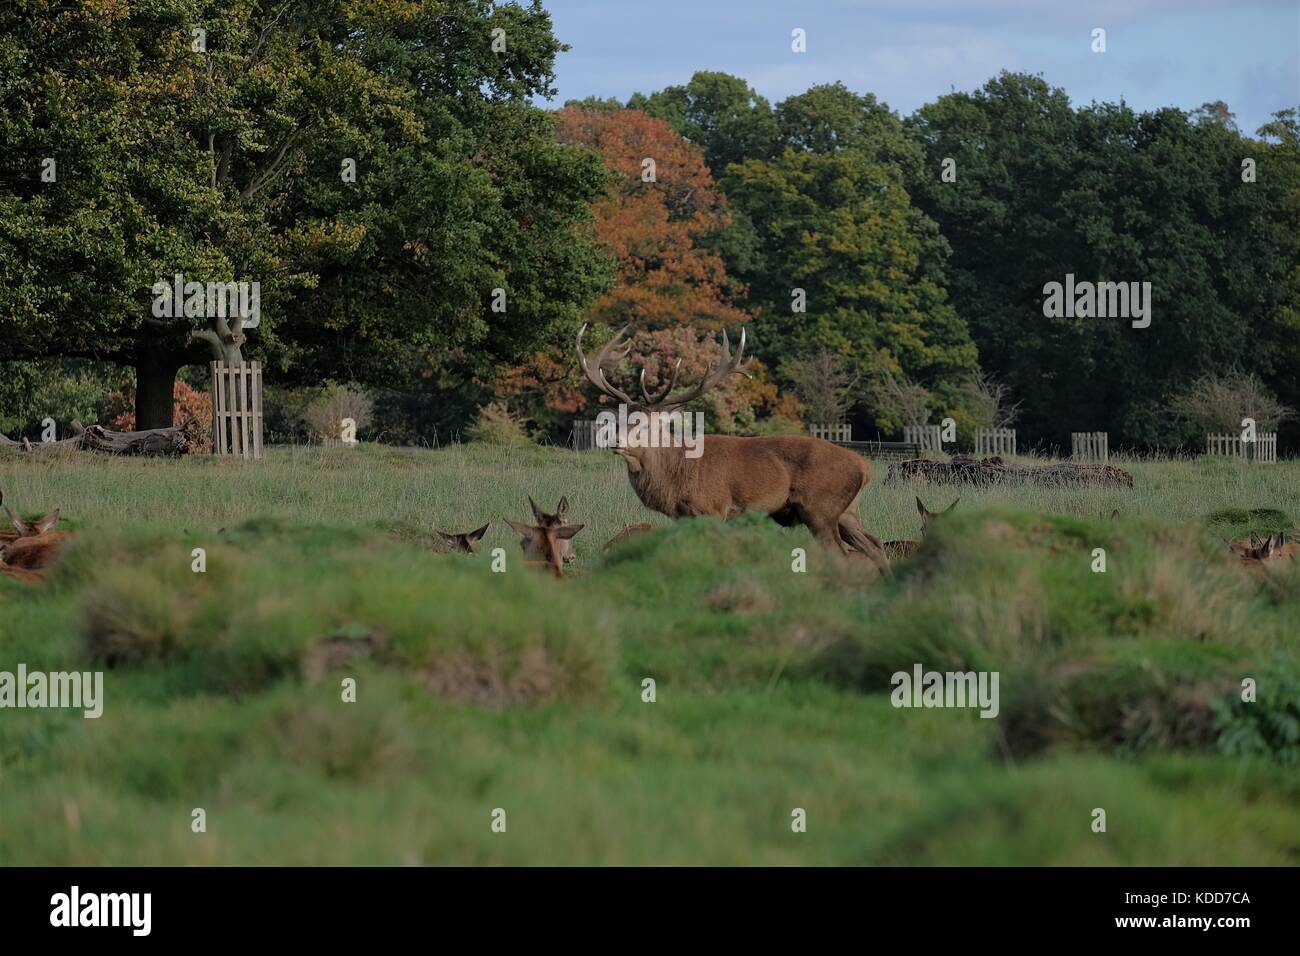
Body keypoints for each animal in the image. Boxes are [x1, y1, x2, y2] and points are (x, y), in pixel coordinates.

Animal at [576, 324, 891, 573]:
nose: (615, 441)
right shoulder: (683, 517)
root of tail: (865, 467)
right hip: (848, 511)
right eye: (620, 420)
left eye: (645, 424)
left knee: (841, 554)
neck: (677, 474)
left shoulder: (713, 509)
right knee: (875, 545)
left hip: (821, 507)